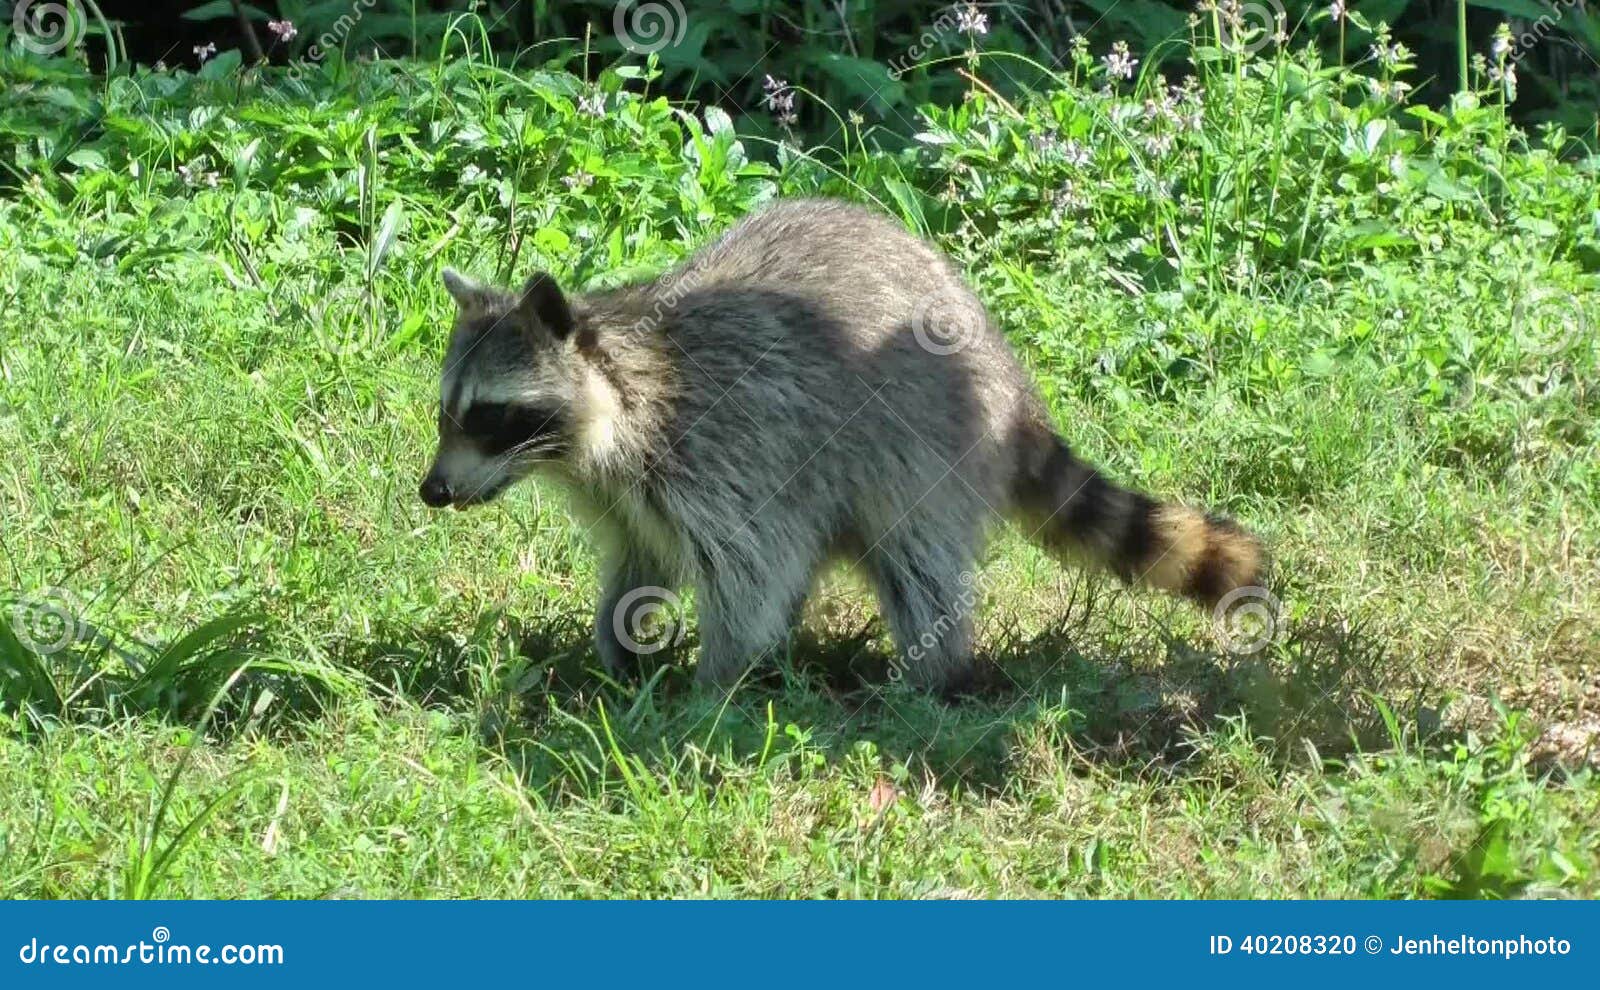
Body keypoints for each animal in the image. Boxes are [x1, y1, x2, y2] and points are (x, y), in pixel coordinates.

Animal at [421, 198, 1263, 695]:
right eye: (445, 414)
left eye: (490, 415)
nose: (432, 491)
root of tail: (1012, 383)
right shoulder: (626, 493)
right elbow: (644, 560)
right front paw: (623, 645)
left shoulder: (728, 448)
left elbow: (751, 569)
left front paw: (711, 685)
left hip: (929, 443)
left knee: (916, 562)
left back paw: (926, 677)